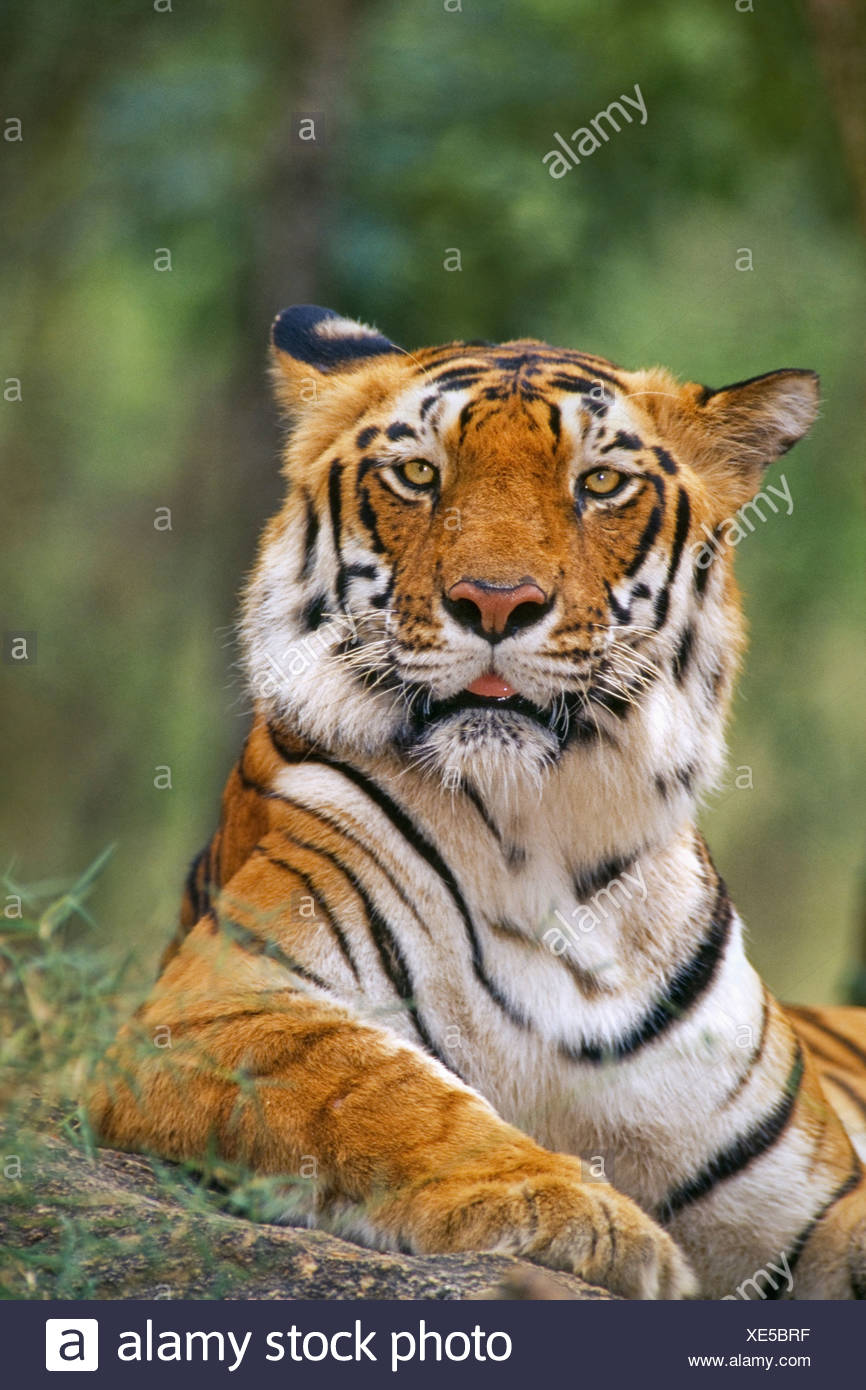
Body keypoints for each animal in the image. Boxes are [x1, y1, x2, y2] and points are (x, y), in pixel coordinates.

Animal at [87, 305, 866, 1300]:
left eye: (599, 483)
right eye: (420, 474)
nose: (496, 602)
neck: (542, 839)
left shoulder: (810, 1187)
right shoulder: (216, 1001)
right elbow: (374, 1088)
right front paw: (575, 1215)